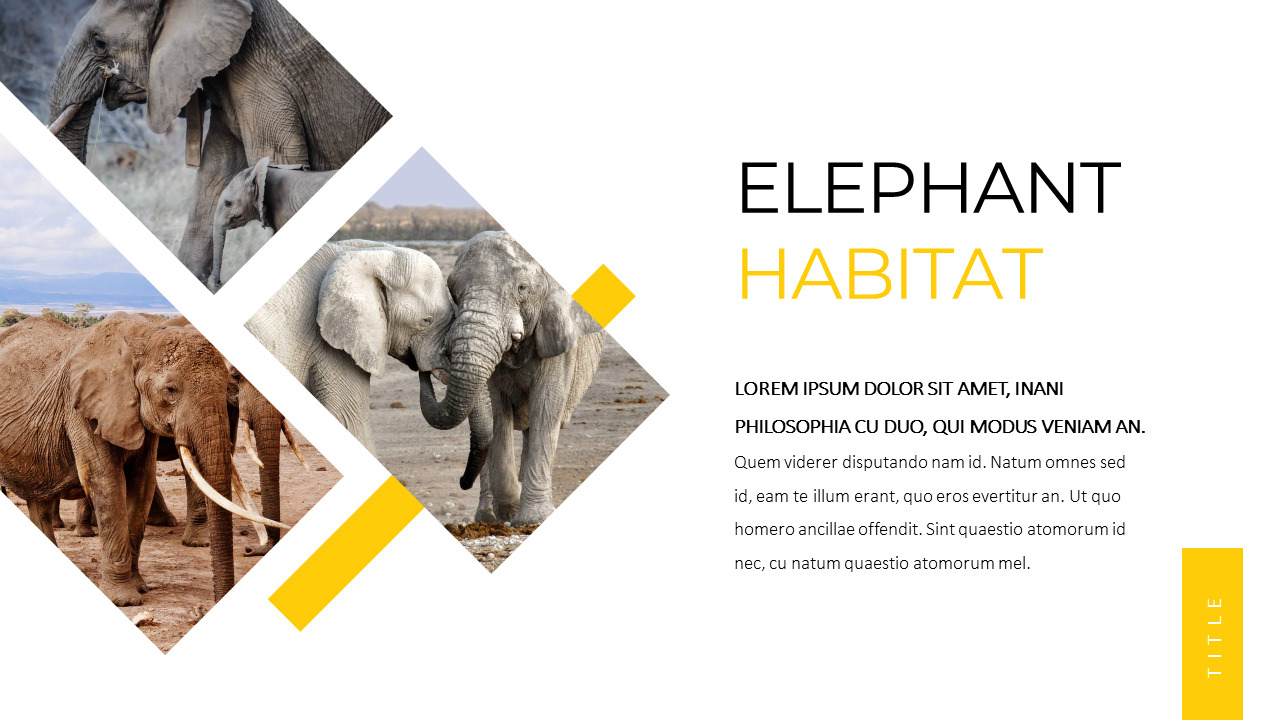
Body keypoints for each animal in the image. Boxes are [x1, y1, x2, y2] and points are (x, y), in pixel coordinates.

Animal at [0, 314, 282, 606]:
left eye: (227, 383)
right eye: (170, 390)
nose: (249, 549)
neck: (145, 338)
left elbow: (141, 484)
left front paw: (139, 588)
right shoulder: (81, 409)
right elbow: (107, 483)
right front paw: (124, 600)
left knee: (39, 502)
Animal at [419, 232, 605, 526]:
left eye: (522, 288)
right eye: (453, 293)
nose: (461, 482)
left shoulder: (558, 334)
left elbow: (547, 407)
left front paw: (531, 520)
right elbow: (496, 412)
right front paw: (512, 508)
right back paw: (487, 518)